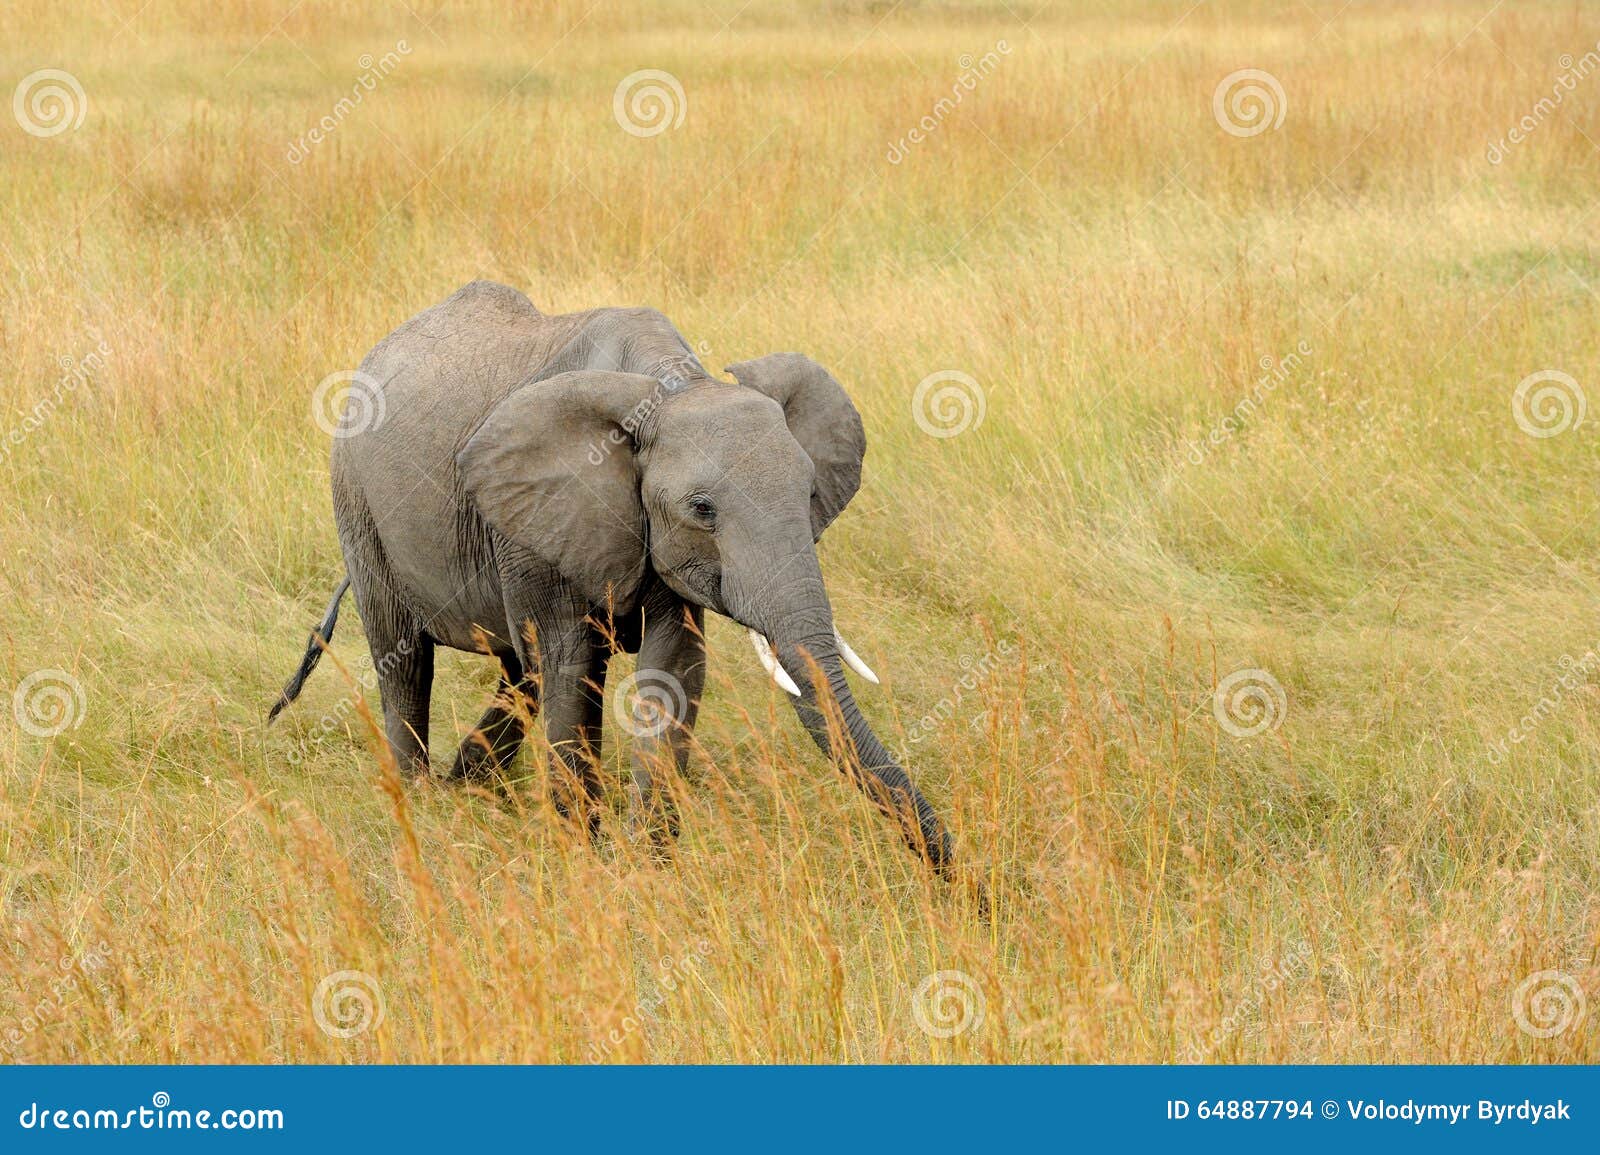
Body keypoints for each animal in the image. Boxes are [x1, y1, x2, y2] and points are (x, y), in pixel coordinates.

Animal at [268, 280, 953, 875]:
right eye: (703, 509)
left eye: (810, 493)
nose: (963, 881)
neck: (669, 385)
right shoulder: (542, 514)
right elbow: (574, 666)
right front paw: (586, 863)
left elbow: (674, 670)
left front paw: (650, 867)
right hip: (356, 503)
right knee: (407, 660)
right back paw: (424, 806)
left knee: (520, 670)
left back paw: (467, 784)